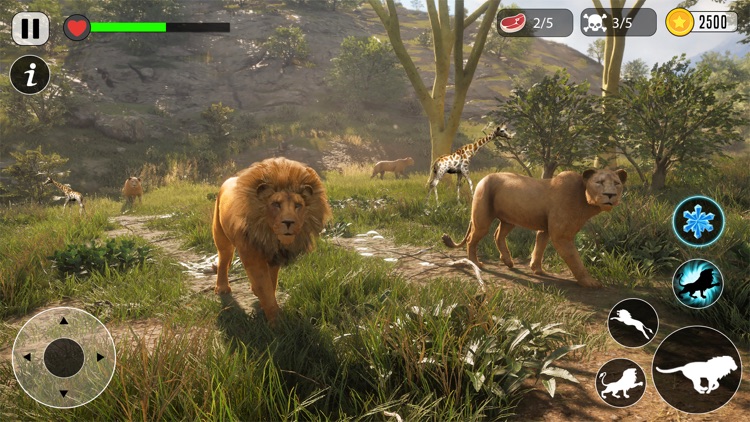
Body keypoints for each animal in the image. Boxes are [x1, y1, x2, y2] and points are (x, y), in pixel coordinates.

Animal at [212, 157, 332, 324]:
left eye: (298, 205)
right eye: (276, 204)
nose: (288, 222)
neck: (271, 237)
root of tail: (228, 180)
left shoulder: (275, 258)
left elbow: (272, 282)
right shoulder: (253, 257)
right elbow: (265, 287)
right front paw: (277, 321)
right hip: (221, 237)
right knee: (223, 261)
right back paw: (222, 288)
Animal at [442, 169, 627, 288]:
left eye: (617, 183)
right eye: (599, 182)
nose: (610, 195)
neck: (585, 199)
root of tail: (484, 177)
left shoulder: (546, 230)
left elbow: (540, 246)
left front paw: (536, 269)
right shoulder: (561, 236)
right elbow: (574, 259)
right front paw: (589, 282)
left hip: (509, 220)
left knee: (498, 235)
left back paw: (508, 261)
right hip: (482, 220)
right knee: (472, 239)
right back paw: (476, 262)